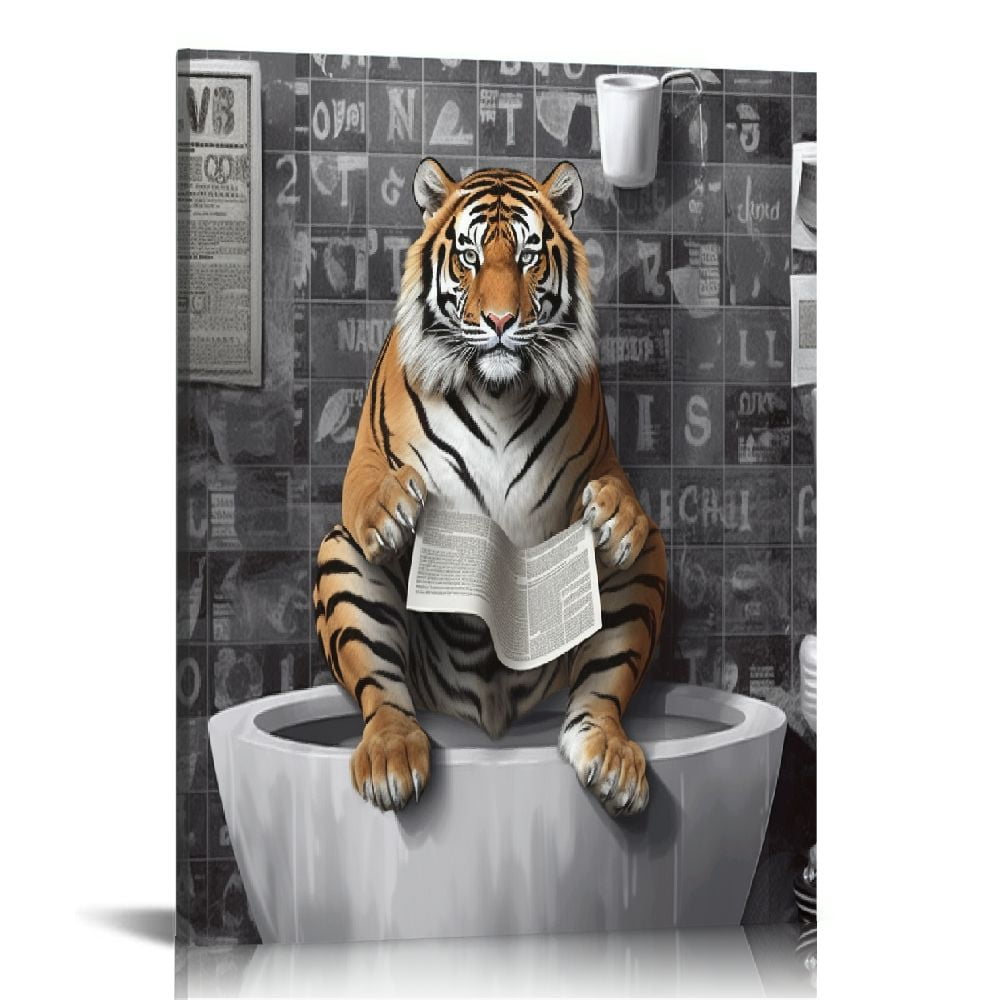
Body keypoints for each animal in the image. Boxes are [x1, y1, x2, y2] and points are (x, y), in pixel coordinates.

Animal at [313, 158, 667, 817]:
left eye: (528, 256)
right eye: (470, 258)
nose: (501, 323)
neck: (498, 389)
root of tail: (492, 716)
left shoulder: (603, 457)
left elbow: (617, 486)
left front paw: (614, 517)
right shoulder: (367, 456)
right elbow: (370, 484)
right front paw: (392, 509)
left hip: (636, 579)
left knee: (597, 697)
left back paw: (611, 760)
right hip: (343, 558)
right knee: (383, 693)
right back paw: (391, 760)